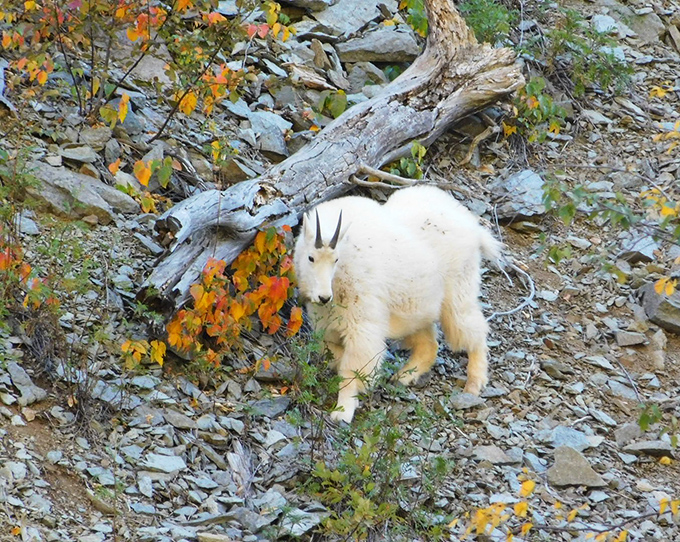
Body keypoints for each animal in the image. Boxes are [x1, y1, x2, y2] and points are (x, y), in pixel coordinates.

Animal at [293, 185, 501, 423]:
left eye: (335, 259)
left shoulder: (362, 320)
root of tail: (474, 228)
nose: (323, 297)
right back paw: (402, 377)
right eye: (311, 258)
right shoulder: (326, 322)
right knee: (429, 344)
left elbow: (354, 364)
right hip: (416, 308)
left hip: (458, 289)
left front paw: (343, 412)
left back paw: (474, 383)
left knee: (471, 329)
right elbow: (334, 353)